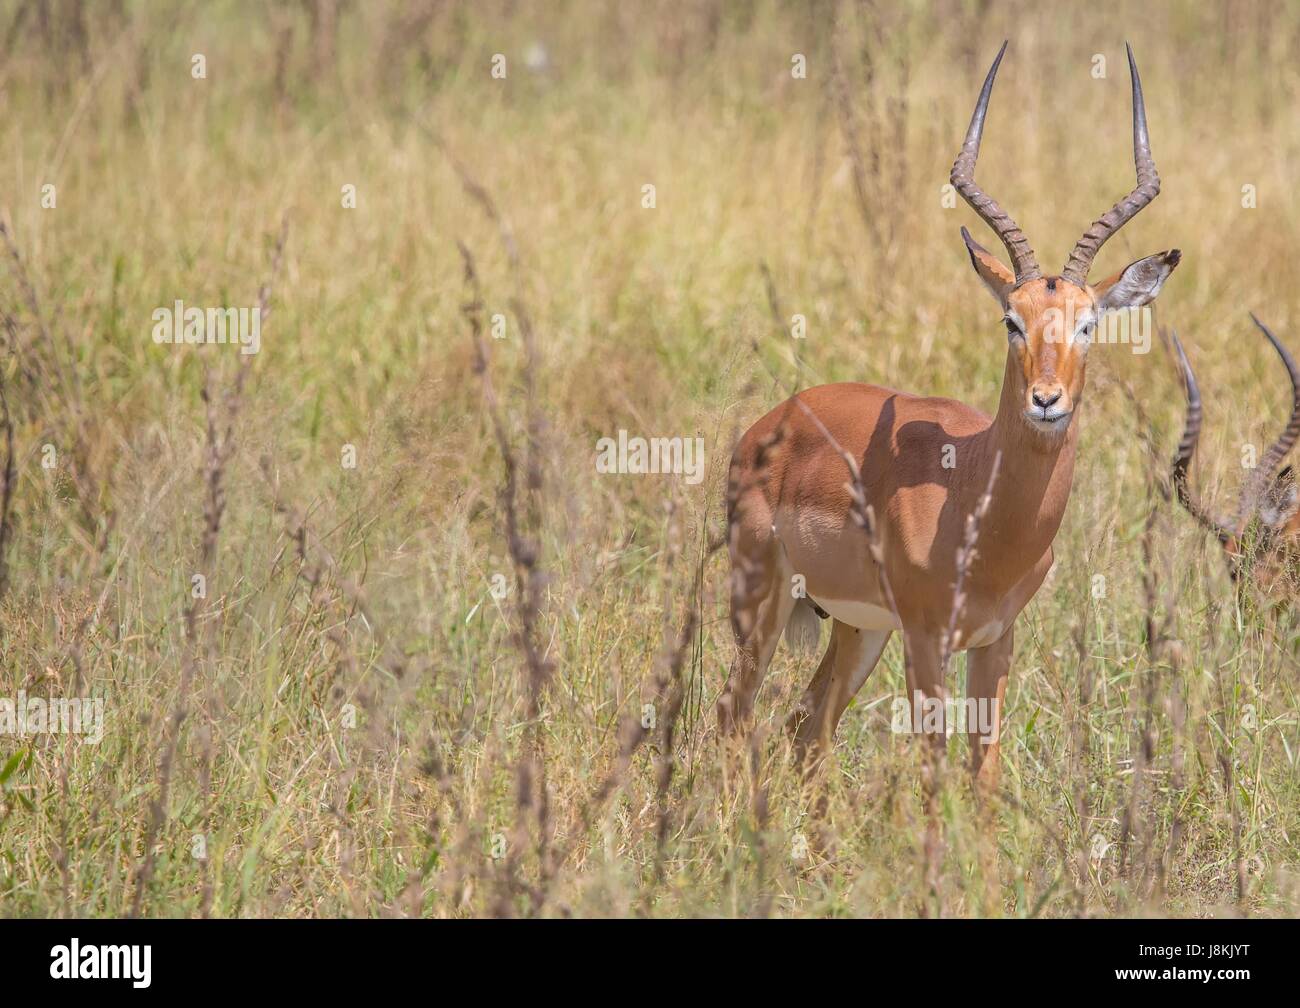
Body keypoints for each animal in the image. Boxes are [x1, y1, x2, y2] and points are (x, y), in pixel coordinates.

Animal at [717, 43, 1182, 788]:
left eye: (1088, 324)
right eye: (1011, 319)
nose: (1045, 400)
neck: (975, 500)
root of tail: (772, 422)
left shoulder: (995, 641)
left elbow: (981, 774)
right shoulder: (928, 640)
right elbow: (935, 773)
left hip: (859, 627)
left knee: (806, 728)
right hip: (763, 607)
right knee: (734, 716)